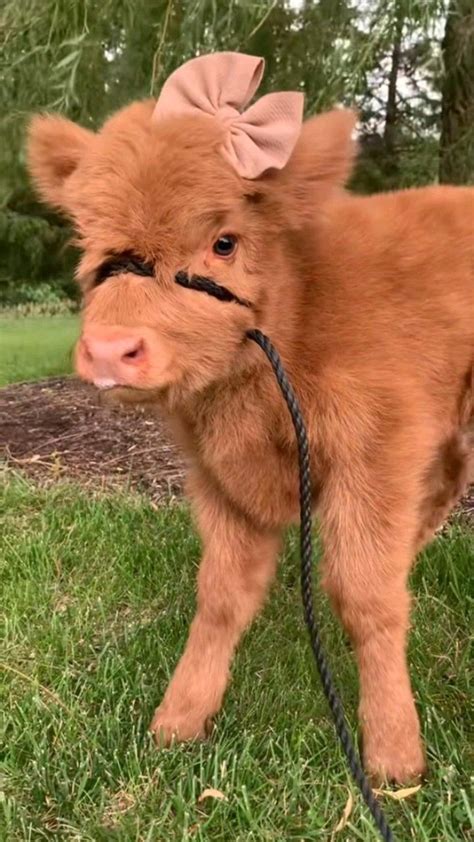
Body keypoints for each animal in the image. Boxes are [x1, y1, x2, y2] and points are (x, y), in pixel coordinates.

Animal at [27, 52, 474, 785]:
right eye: (90, 244)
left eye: (224, 242)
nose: (111, 350)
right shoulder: (220, 479)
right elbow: (221, 597)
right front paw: (180, 718)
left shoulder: (377, 454)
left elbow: (367, 599)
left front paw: (393, 756)